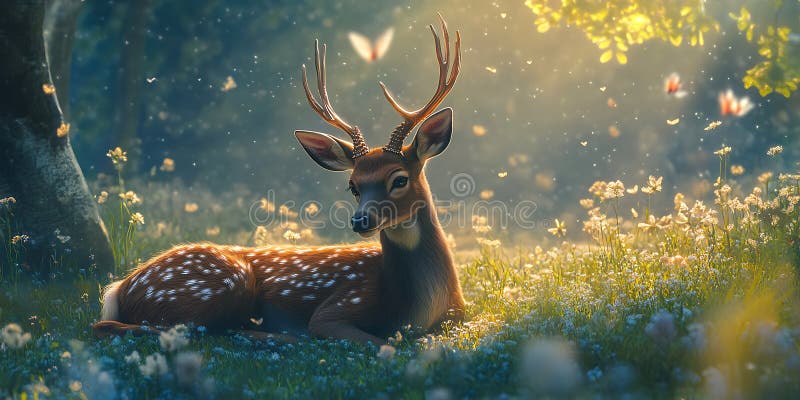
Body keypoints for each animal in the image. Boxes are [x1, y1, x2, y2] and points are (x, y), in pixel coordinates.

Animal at [92, 15, 465, 345]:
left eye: (399, 179)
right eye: (353, 185)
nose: (361, 220)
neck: (418, 307)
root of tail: (120, 288)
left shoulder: (462, 314)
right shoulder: (337, 308)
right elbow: (386, 344)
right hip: (223, 282)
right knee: (148, 327)